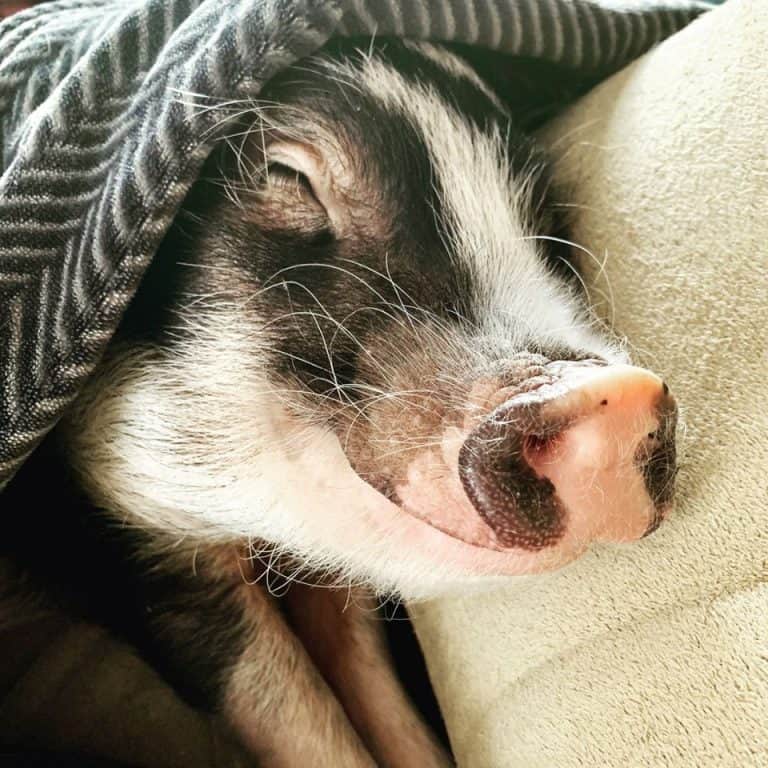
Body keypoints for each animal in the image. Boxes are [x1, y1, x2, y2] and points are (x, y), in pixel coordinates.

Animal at [40, 37, 677, 767]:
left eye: (544, 222)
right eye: (286, 176)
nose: (612, 395)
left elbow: (363, 669)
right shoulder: (141, 538)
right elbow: (287, 709)